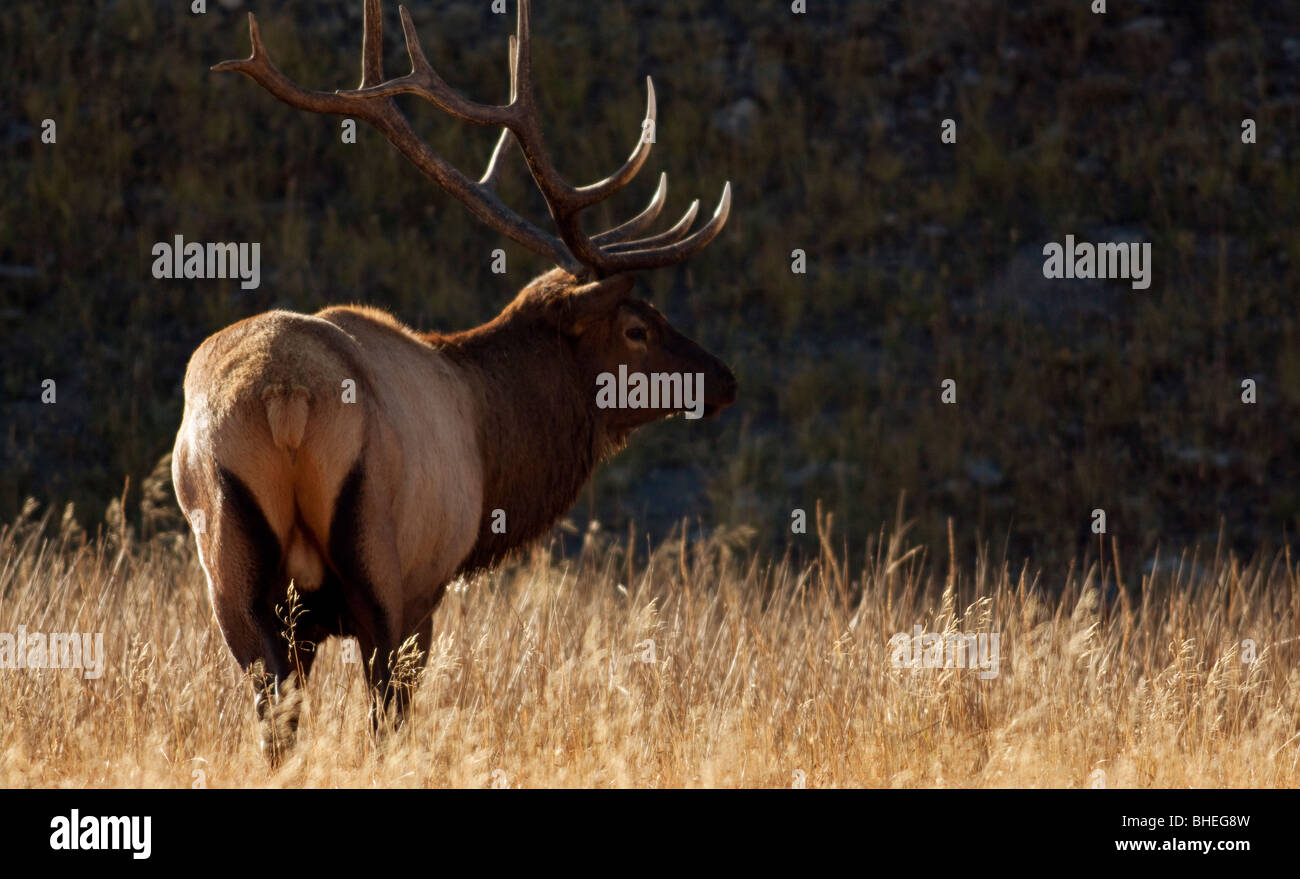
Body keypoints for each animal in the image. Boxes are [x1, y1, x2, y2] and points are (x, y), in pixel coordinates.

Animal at [171, 0, 736, 763]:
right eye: (638, 327)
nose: (724, 378)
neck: (491, 445)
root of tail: (285, 399)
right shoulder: (429, 586)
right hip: (379, 562)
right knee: (381, 710)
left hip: (229, 563)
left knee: (274, 719)